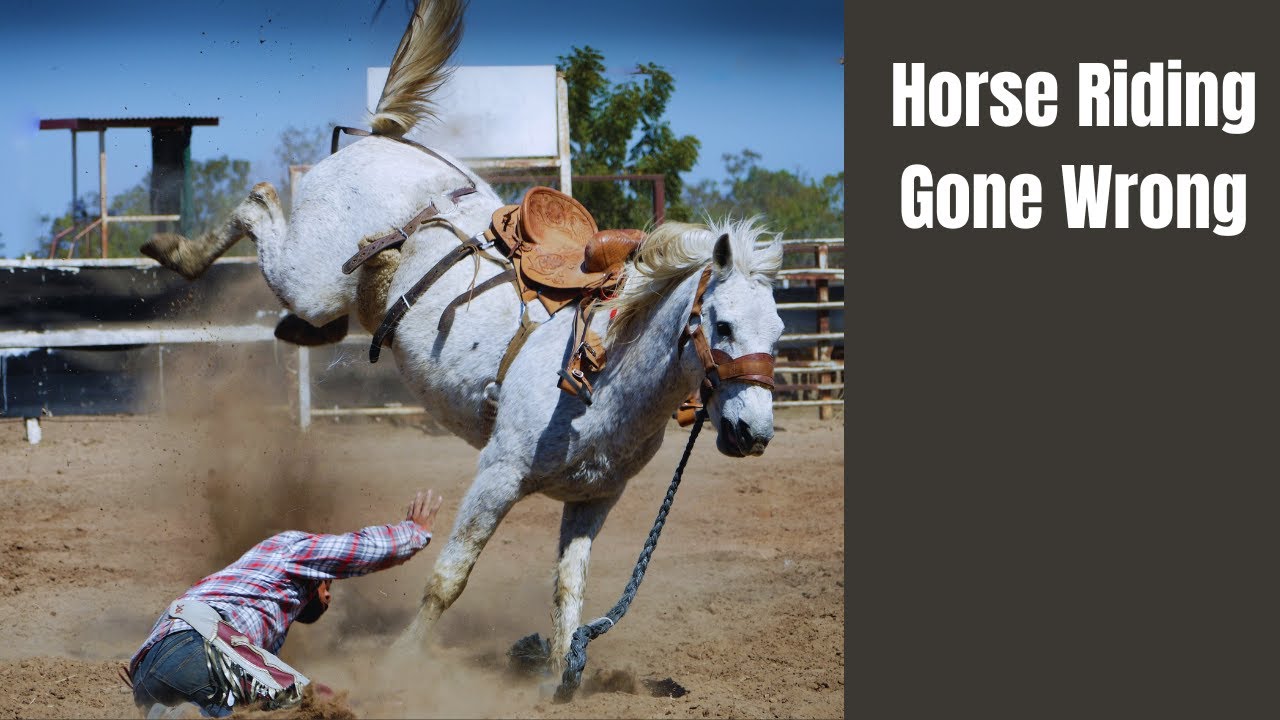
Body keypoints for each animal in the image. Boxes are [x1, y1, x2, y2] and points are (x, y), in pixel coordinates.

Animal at [142, 0, 785, 678]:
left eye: (778, 331)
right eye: (722, 324)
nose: (753, 432)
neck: (605, 372)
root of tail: (384, 138)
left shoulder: (594, 500)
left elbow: (568, 593)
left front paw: (559, 676)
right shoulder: (497, 475)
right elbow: (449, 578)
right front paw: (400, 664)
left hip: (328, 295)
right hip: (310, 276)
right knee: (257, 203)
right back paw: (175, 250)